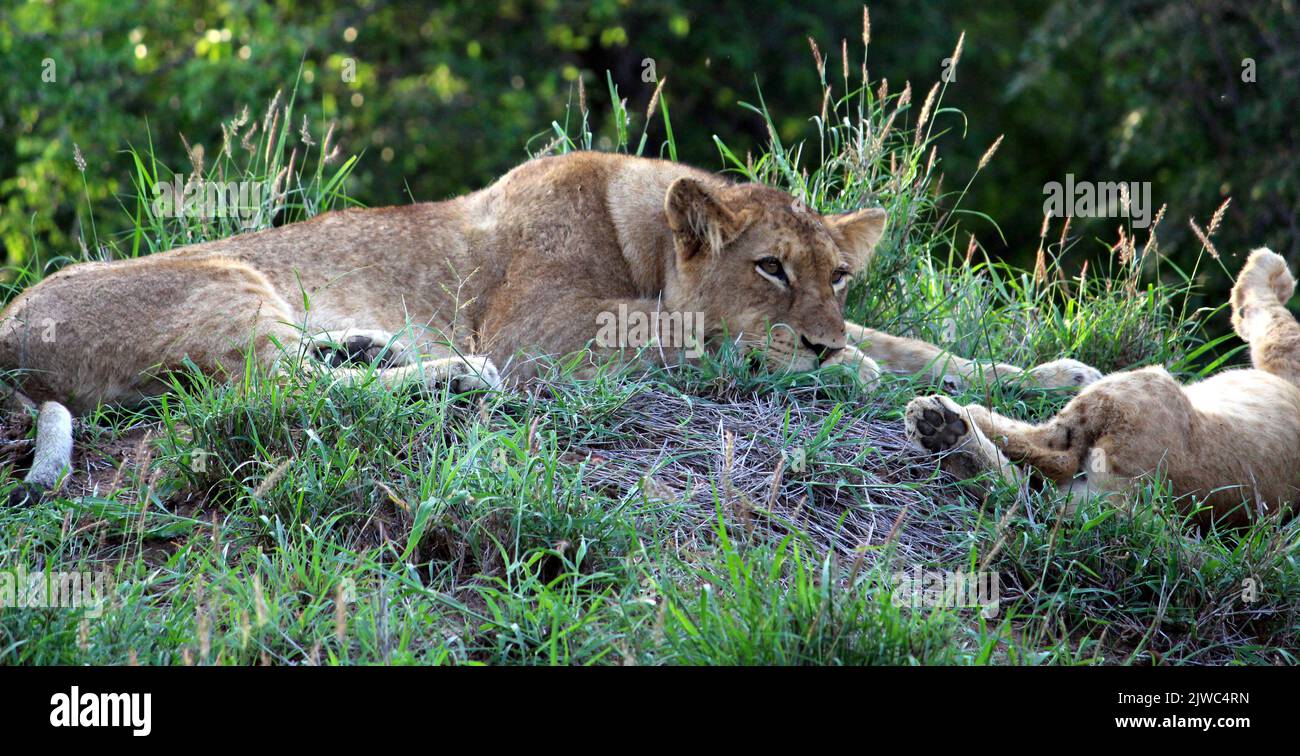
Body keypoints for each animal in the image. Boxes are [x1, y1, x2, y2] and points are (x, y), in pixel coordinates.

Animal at [1, 151, 1099, 493]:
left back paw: (366, 341)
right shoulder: (537, 333)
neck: (644, 241)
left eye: (836, 274)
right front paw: (836, 373)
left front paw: (1056, 374)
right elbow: (696, 333)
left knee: (300, 377)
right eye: (769, 267)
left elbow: (920, 344)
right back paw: (449, 377)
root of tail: (9, 335)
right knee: (279, 390)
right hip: (227, 274)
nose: (820, 337)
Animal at [905, 247, 1300, 526]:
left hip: (1138, 387)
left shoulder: (1283, 350)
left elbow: (1270, 311)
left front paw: (1267, 269)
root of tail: (1140, 493)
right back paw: (949, 436)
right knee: (1026, 491)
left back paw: (949, 421)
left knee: (1052, 455)